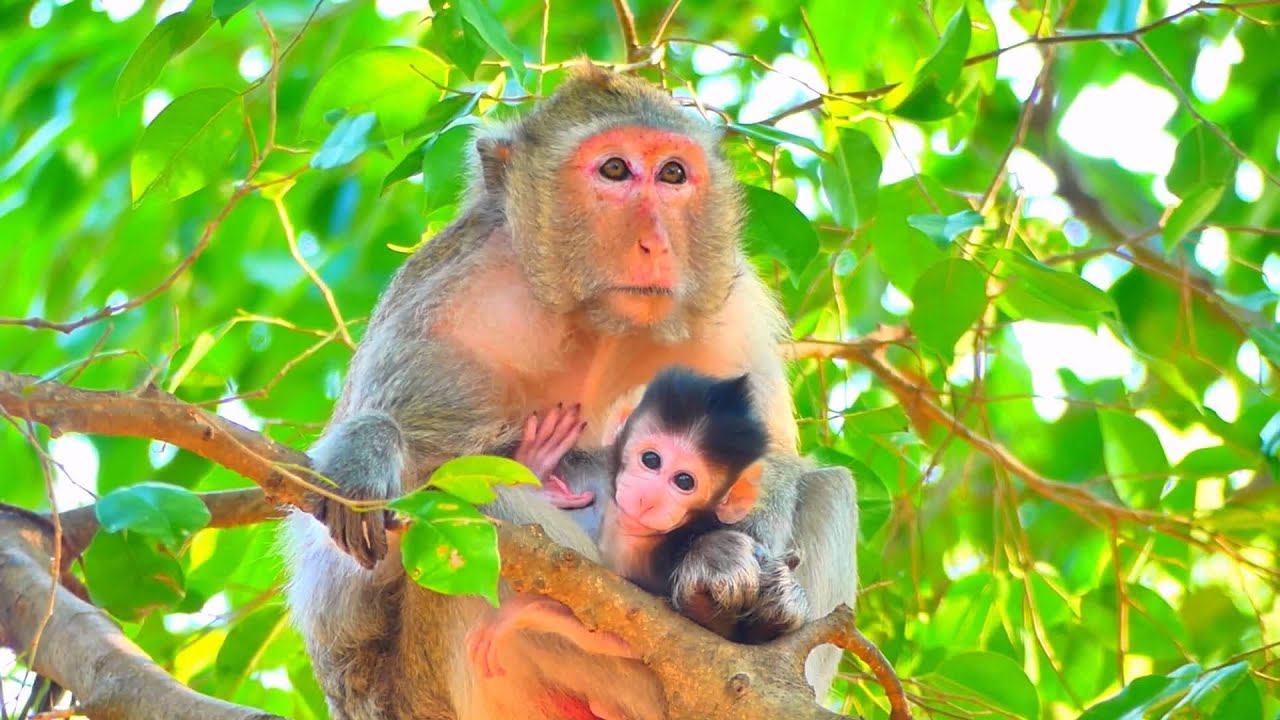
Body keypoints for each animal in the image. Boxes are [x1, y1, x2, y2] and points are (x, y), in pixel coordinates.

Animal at [280, 65, 858, 720]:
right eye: (615, 170)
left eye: (672, 174)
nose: (656, 242)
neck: (597, 321)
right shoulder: (447, 299)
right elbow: (348, 585)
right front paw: (370, 448)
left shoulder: (731, 313)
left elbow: (774, 461)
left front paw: (742, 568)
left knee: (829, 486)